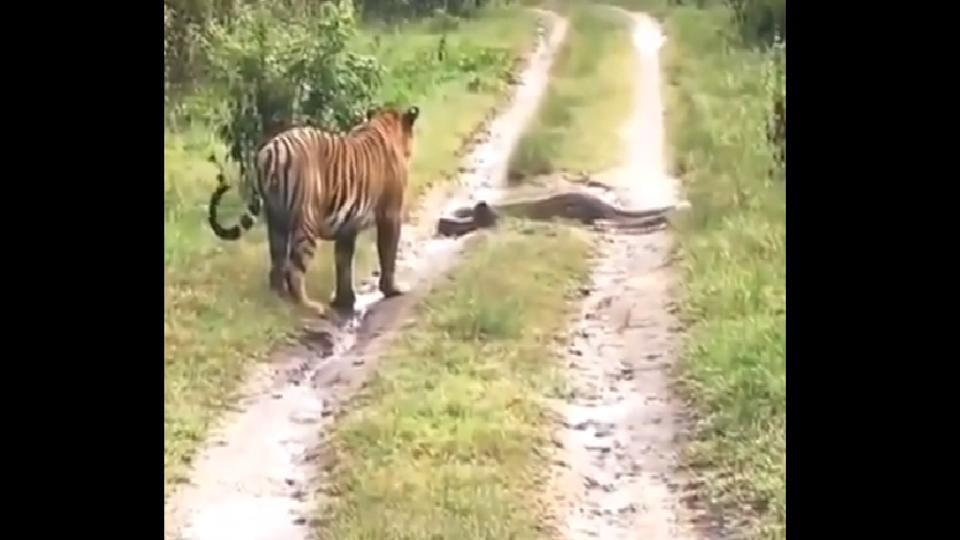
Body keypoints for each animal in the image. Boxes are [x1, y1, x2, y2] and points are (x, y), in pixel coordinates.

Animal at [207, 105, 421, 315]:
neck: (383, 126)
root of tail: (269, 152)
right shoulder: (390, 214)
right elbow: (388, 253)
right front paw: (392, 289)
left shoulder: (347, 225)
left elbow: (343, 262)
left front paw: (343, 301)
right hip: (306, 222)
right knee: (294, 269)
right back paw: (309, 306)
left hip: (276, 220)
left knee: (277, 262)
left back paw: (280, 301)